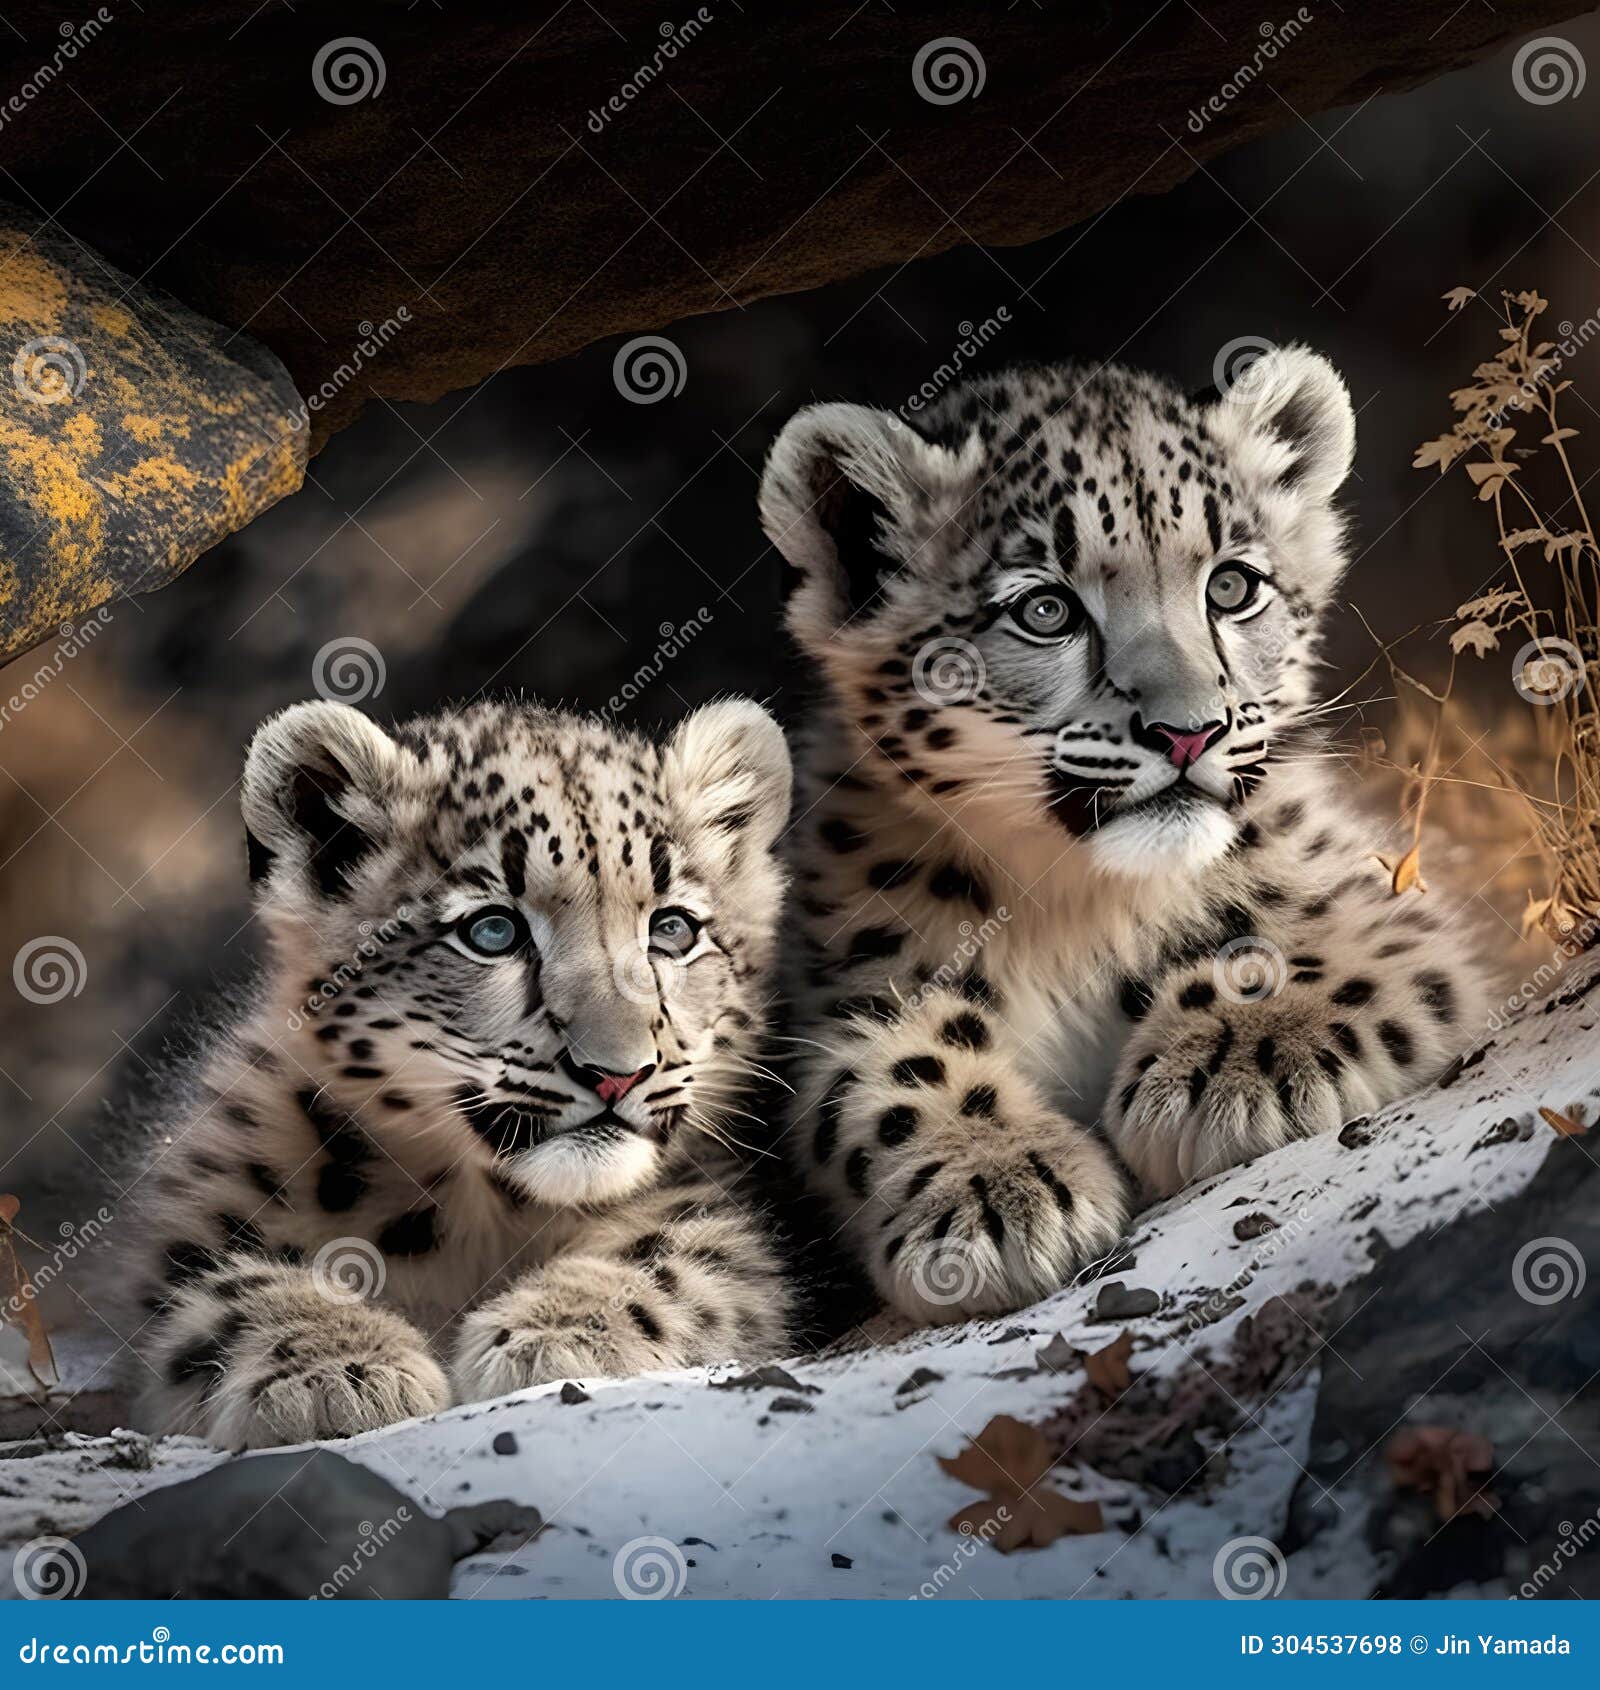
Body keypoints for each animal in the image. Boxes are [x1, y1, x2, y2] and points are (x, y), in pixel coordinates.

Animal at [120, 694, 794, 1447]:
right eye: (493, 930)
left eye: (673, 929)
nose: (618, 1073)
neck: (478, 1212)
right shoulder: (199, 1222)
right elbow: (231, 1289)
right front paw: (337, 1368)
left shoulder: (706, 1206)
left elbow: (680, 1260)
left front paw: (560, 1331)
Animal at [758, 345, 1494, 1326]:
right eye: (1045, 609)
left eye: (1232, 586)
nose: (1190, 731)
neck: (1078, 900)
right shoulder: (859, 987)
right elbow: (888, 1078)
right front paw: (992, 1188)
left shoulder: (1371, 888)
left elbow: (1341, 942)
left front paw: (1236, 1058)